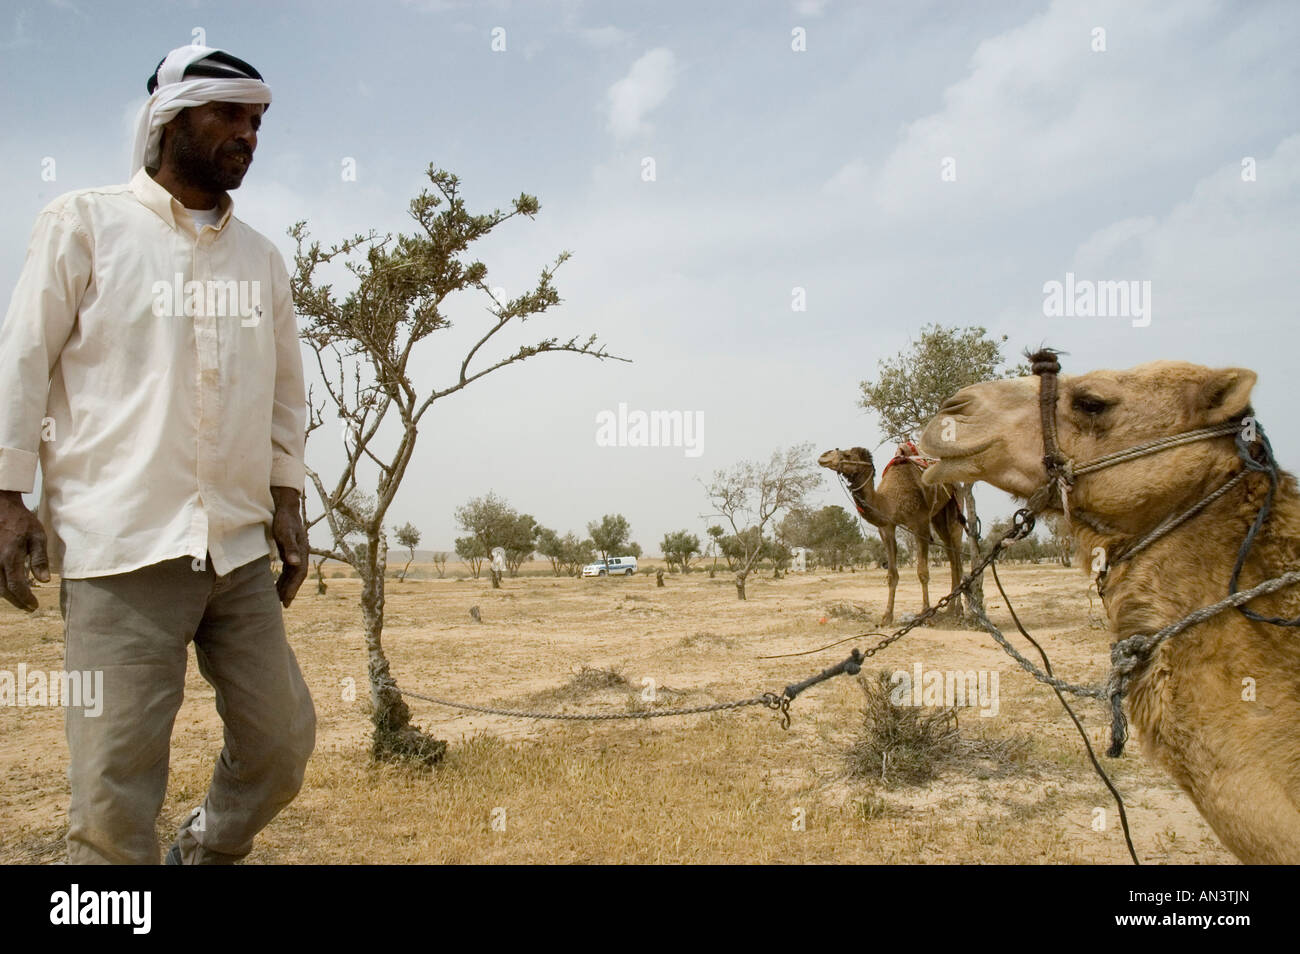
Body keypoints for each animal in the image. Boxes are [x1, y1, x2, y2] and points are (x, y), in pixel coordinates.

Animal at [818, 446, 965, 625]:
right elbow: (892, 575)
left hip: (956, 504)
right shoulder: (886, 527)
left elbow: (922, 572)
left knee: (957, 557)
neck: (889, 501)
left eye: (847, 454)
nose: (823, 456)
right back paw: (950, 609)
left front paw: (925, 614)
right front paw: (886, 616)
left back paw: (958, 610)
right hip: (938, 517)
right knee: (951, 557)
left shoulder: (921, 524)